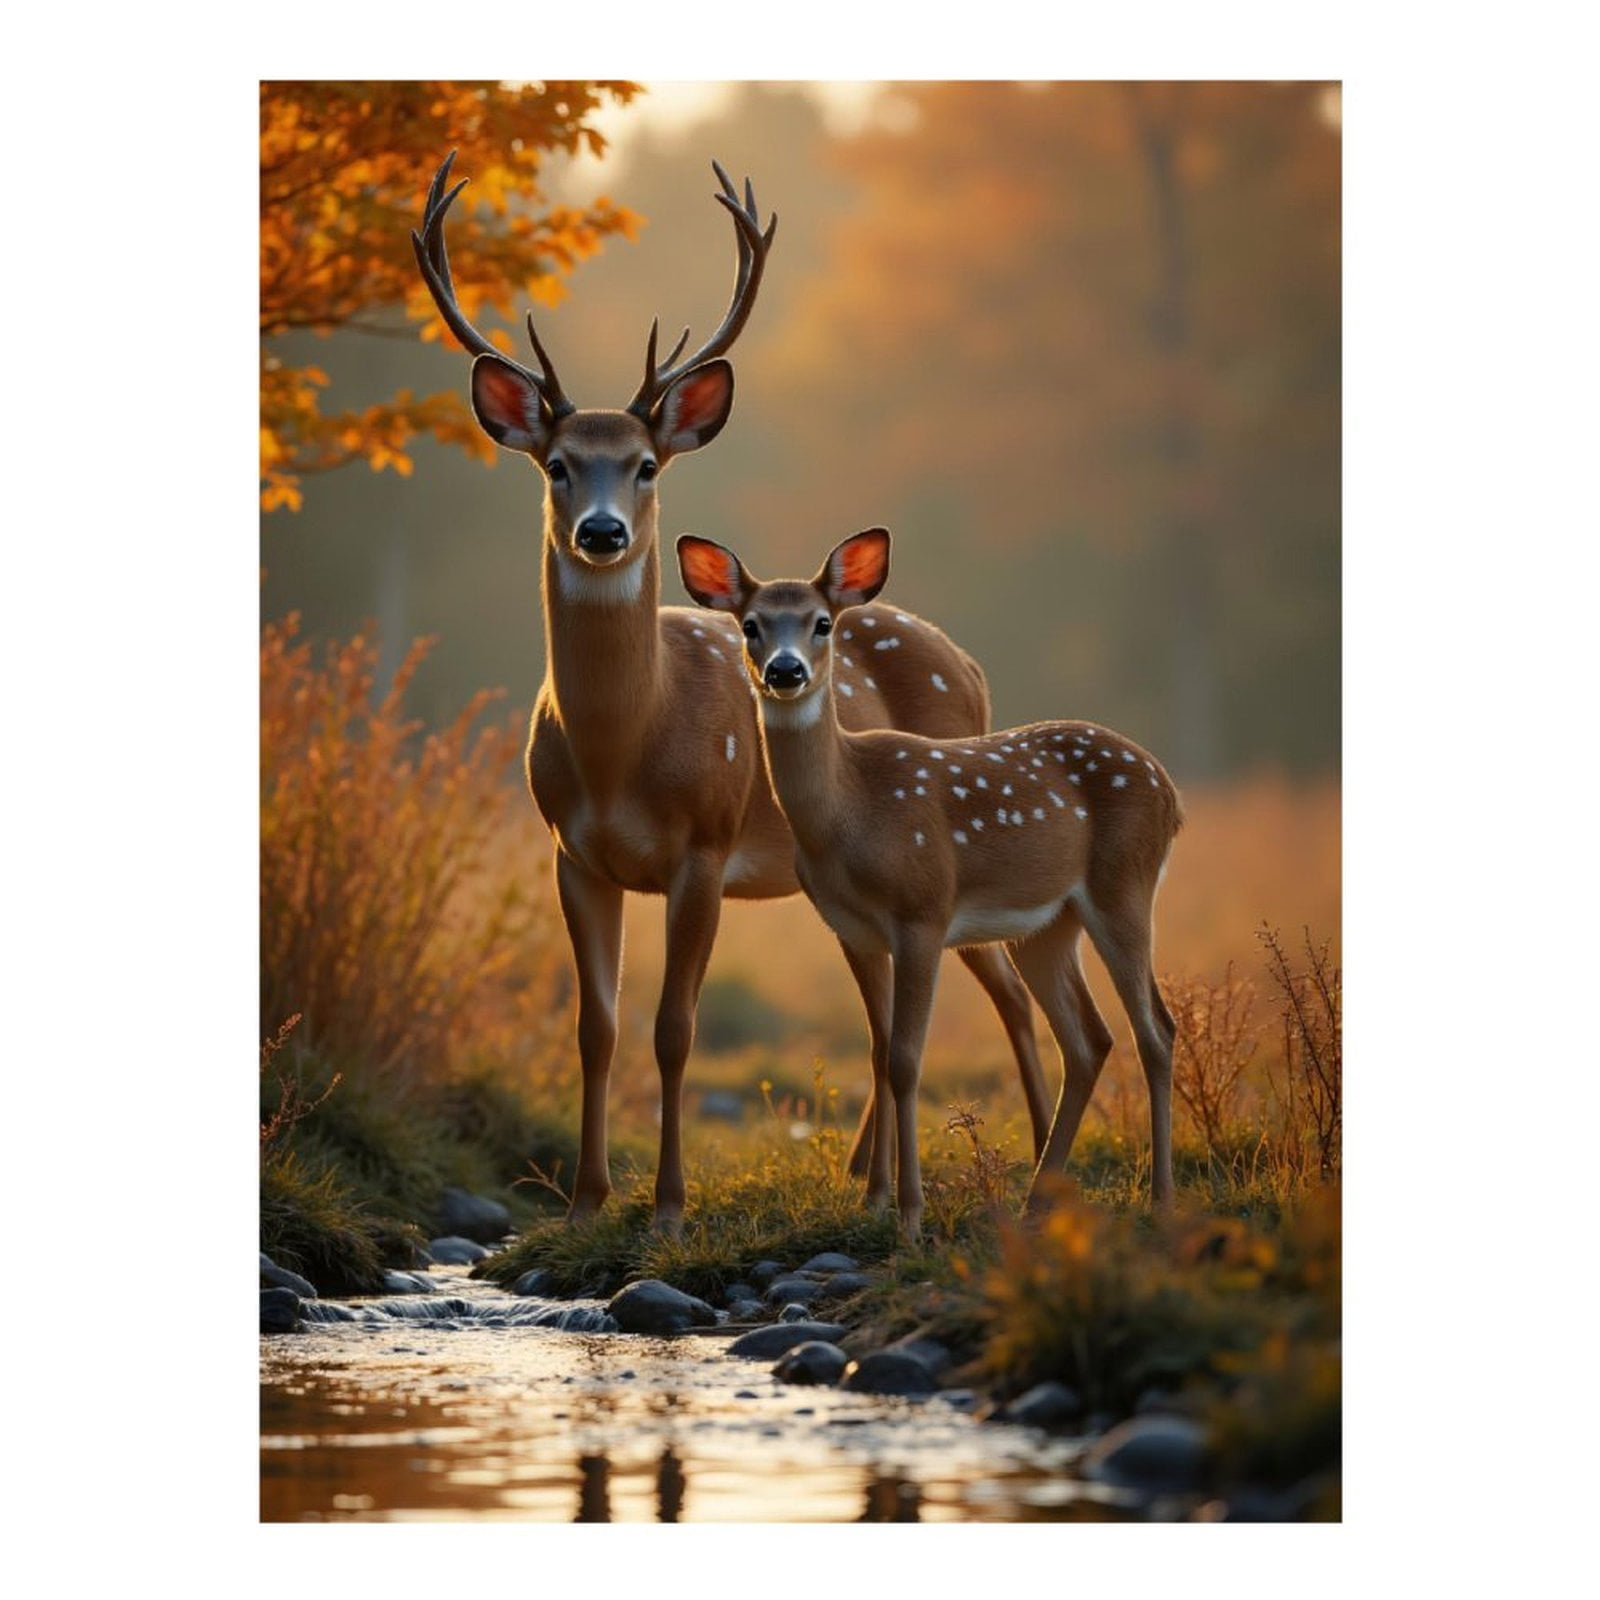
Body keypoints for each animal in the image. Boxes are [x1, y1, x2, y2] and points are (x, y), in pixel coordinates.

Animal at [411, 153, 1052, 1230]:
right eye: (556, 464)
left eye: (643, 463)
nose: (600, 531)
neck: (623, 750)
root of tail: (969, 665)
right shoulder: (568, 851)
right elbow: (595, 1025)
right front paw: (586, 1202)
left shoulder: (703, 845)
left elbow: (674, 1026)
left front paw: (668, 1205)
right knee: (888, 1017)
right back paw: (864, 1177)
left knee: (1003, 993)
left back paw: (1039, 1159)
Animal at [677, 528, 1184, 1236]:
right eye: (750, 625)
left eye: (823, 623)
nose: (784, 670)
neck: (849, 812)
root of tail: (1169, 790)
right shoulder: (852, 929)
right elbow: (880, 1050)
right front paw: (876, 1200)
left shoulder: (924, 910)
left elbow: (907, 1060)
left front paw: (911, 1218)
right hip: (1046, 926)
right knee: (1089, 1040)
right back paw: (1036, 1201)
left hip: (1124, 887)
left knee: (1155, 1030)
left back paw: (1160, 1200)